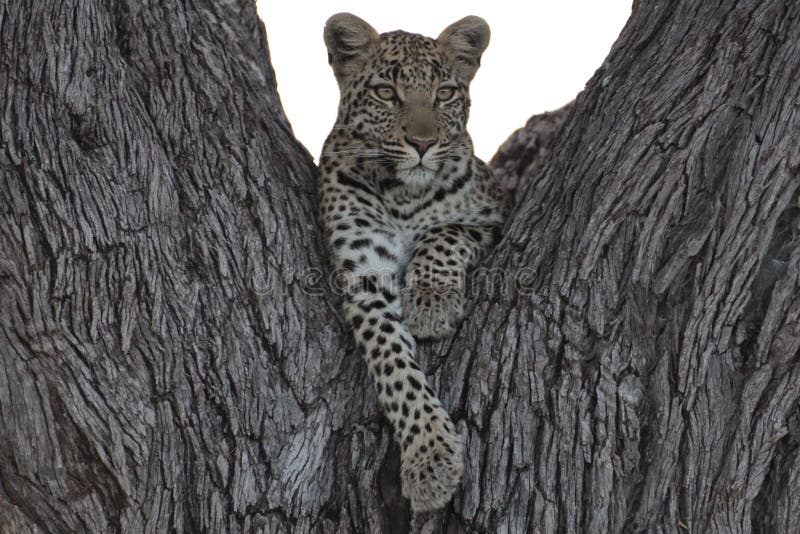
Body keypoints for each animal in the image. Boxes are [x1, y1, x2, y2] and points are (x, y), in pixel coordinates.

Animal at [317, 13, 506, 512]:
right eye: (387, 92)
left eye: (445, 93)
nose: (423, 143)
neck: (403, 192)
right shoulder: (364, 271)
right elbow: (396, 369)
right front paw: (430, 459)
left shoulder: (492, 217)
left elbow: (444, 233)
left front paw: (431, 305)